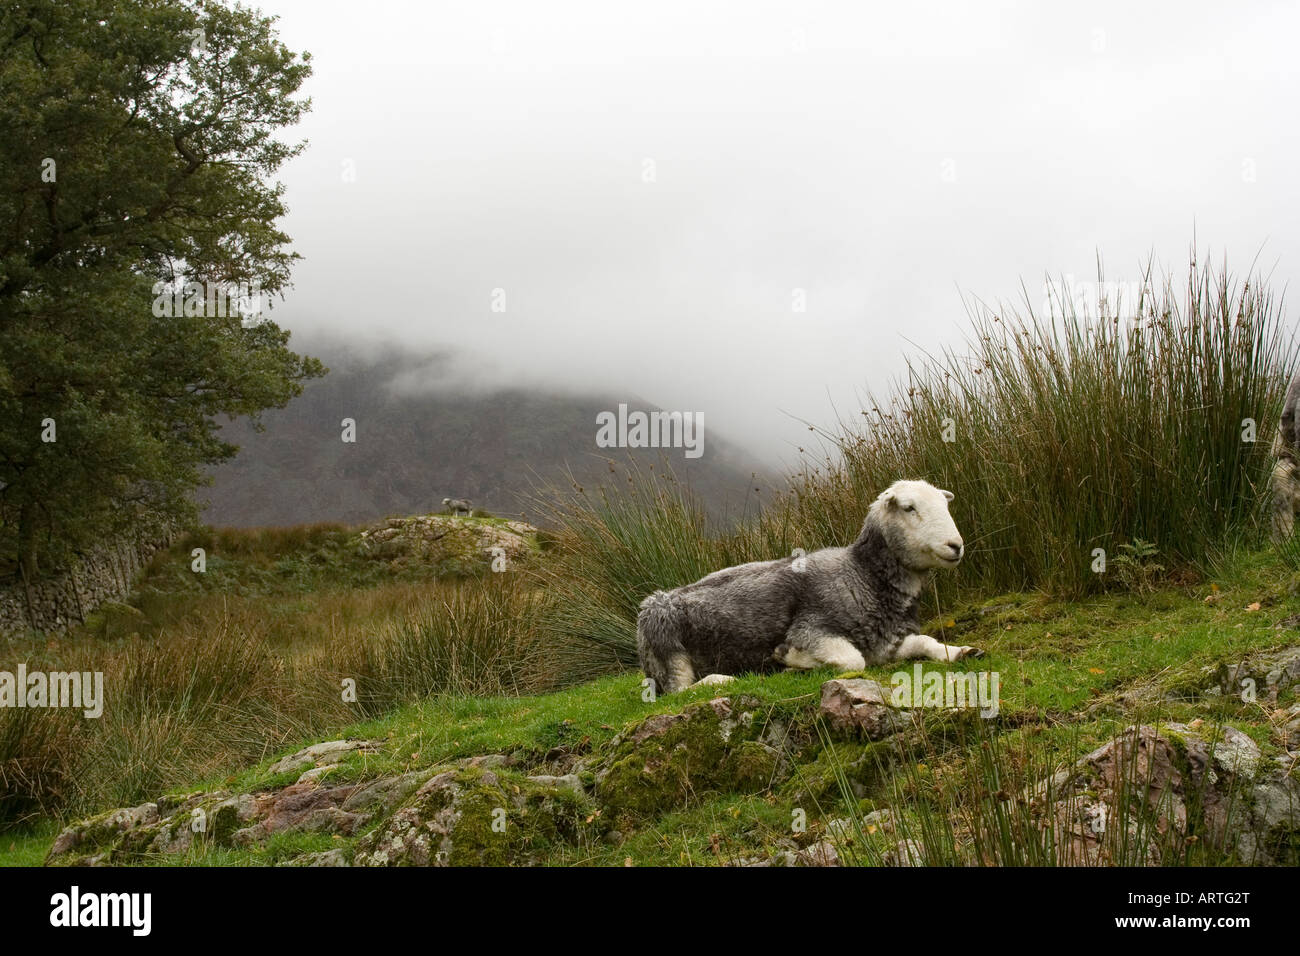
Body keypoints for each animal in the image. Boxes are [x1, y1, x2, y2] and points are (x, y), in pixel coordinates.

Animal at [637, 479, 980, 694]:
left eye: (944, 506)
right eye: (909, 507)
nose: (956, 546)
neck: (862, 576)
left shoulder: (887, 645)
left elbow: (926, 642)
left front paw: (961, 651)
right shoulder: (810, 629)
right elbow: (852, 660)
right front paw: (790, 659)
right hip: (668, 648)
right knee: (679, 692)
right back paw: (721, 679)